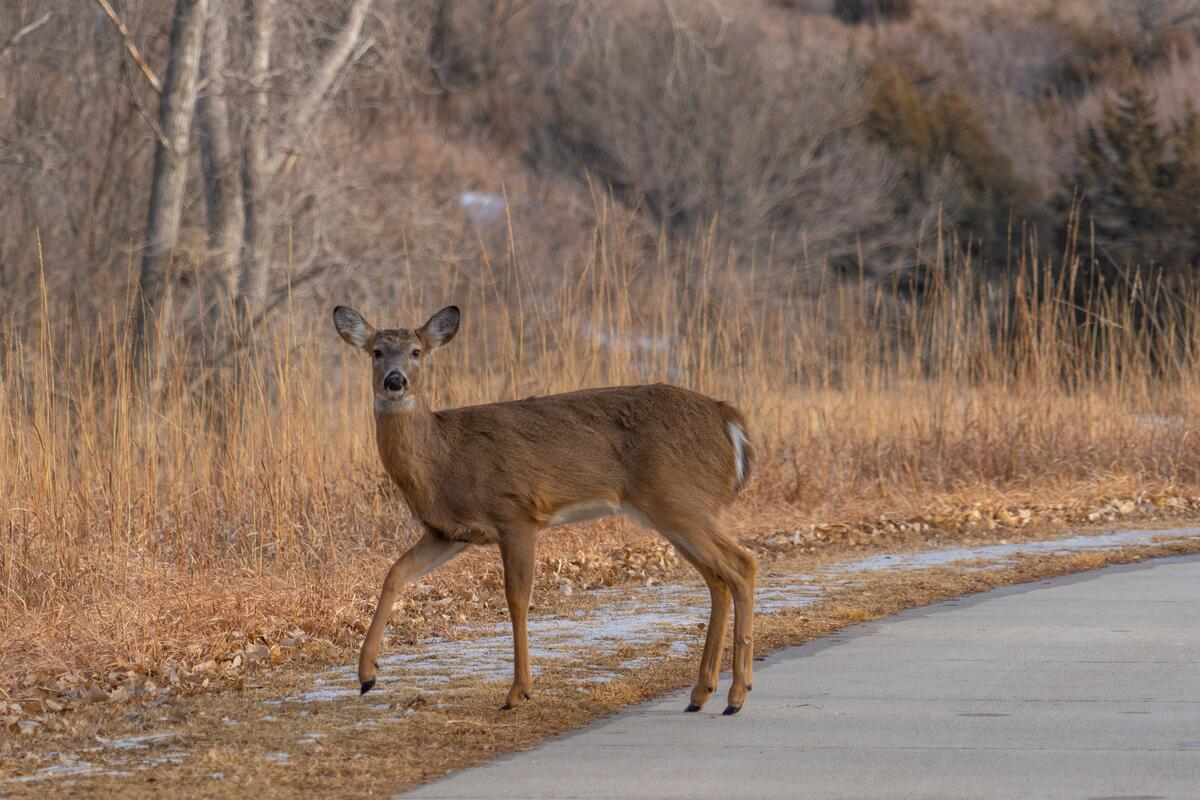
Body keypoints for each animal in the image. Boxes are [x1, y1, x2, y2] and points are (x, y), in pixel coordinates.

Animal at [332, 305, 758, 714]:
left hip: (680, 501)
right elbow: (395, 574)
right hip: (677, 511)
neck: (444, 458)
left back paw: (736, 695)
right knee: (718, 579)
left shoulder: (515, 513)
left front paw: (518, 691)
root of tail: (729, 421)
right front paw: (367, 675)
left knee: (742, 565)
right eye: (377, 351)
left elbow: (517, 599)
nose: (395, 381)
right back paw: (701, 692)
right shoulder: (448, 532)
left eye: (417, 351)